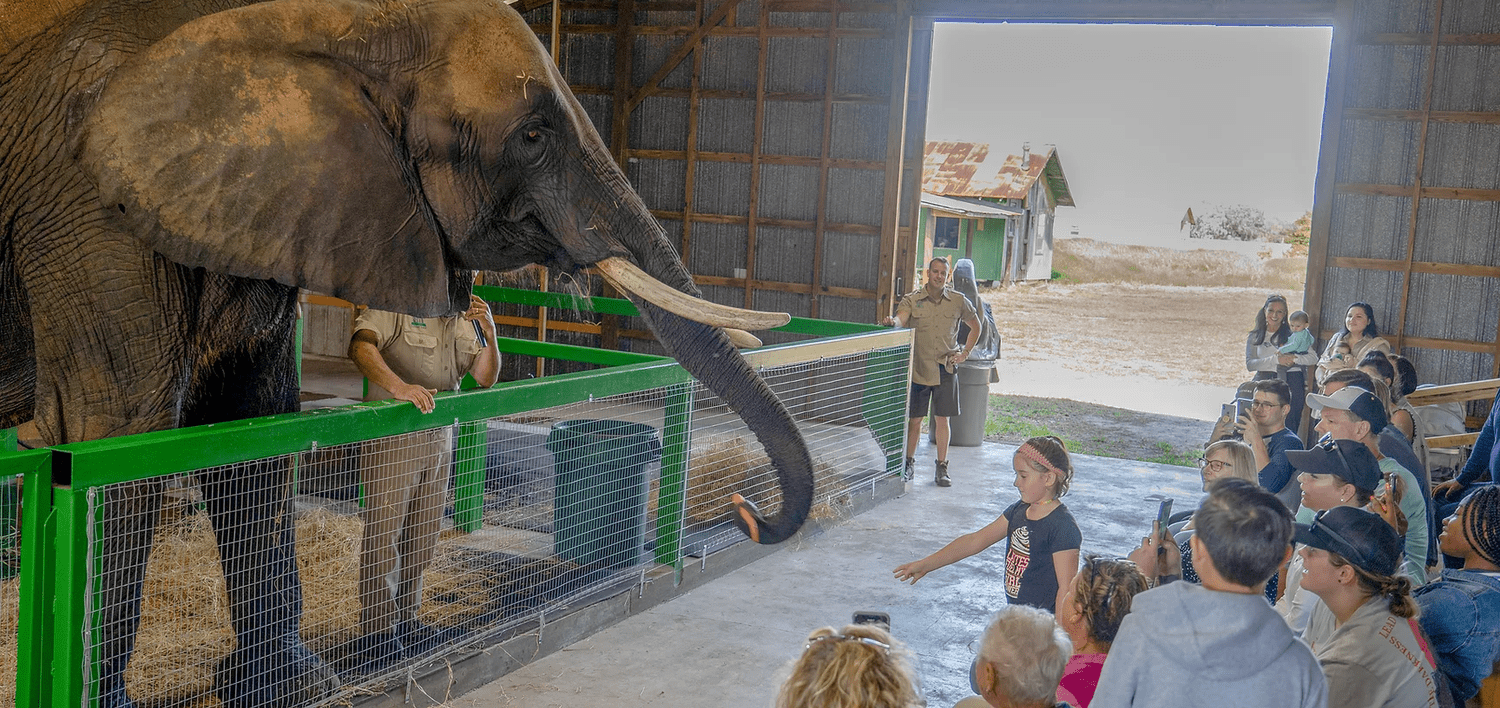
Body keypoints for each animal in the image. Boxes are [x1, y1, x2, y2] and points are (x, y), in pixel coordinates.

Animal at [0, 0, 815, 705]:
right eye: (533, 134)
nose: (748, 513)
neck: (323, 21)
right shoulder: (83, 210)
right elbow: (118, 440)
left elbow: (256, 428)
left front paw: (292, 687)